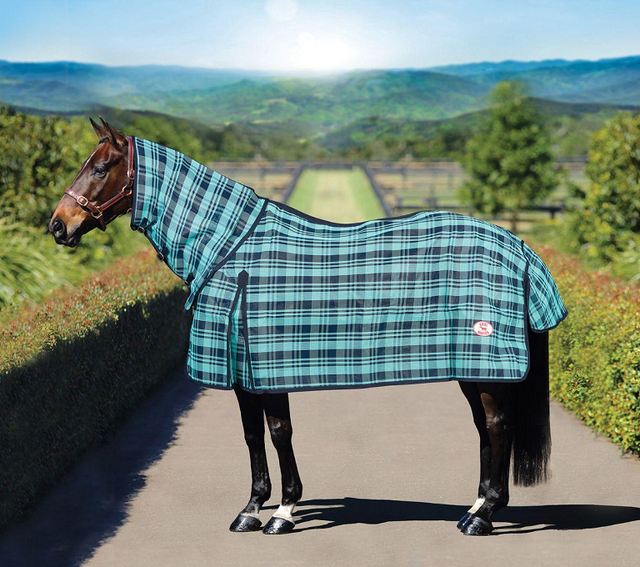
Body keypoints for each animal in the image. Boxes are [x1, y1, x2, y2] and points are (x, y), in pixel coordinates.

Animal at [49, 117, 565, 536]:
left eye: (101, 168)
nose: (58, 226)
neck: (229, 248)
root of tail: (520, 247)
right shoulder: (242, 374)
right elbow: (252, 435)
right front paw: (251, 509)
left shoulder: (265, 369)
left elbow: (280, 432)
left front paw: (283, 512)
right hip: (473, 368)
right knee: (484, 428)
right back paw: (474, 508)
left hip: (486, 366)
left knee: (497, 426)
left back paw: (484, 516)